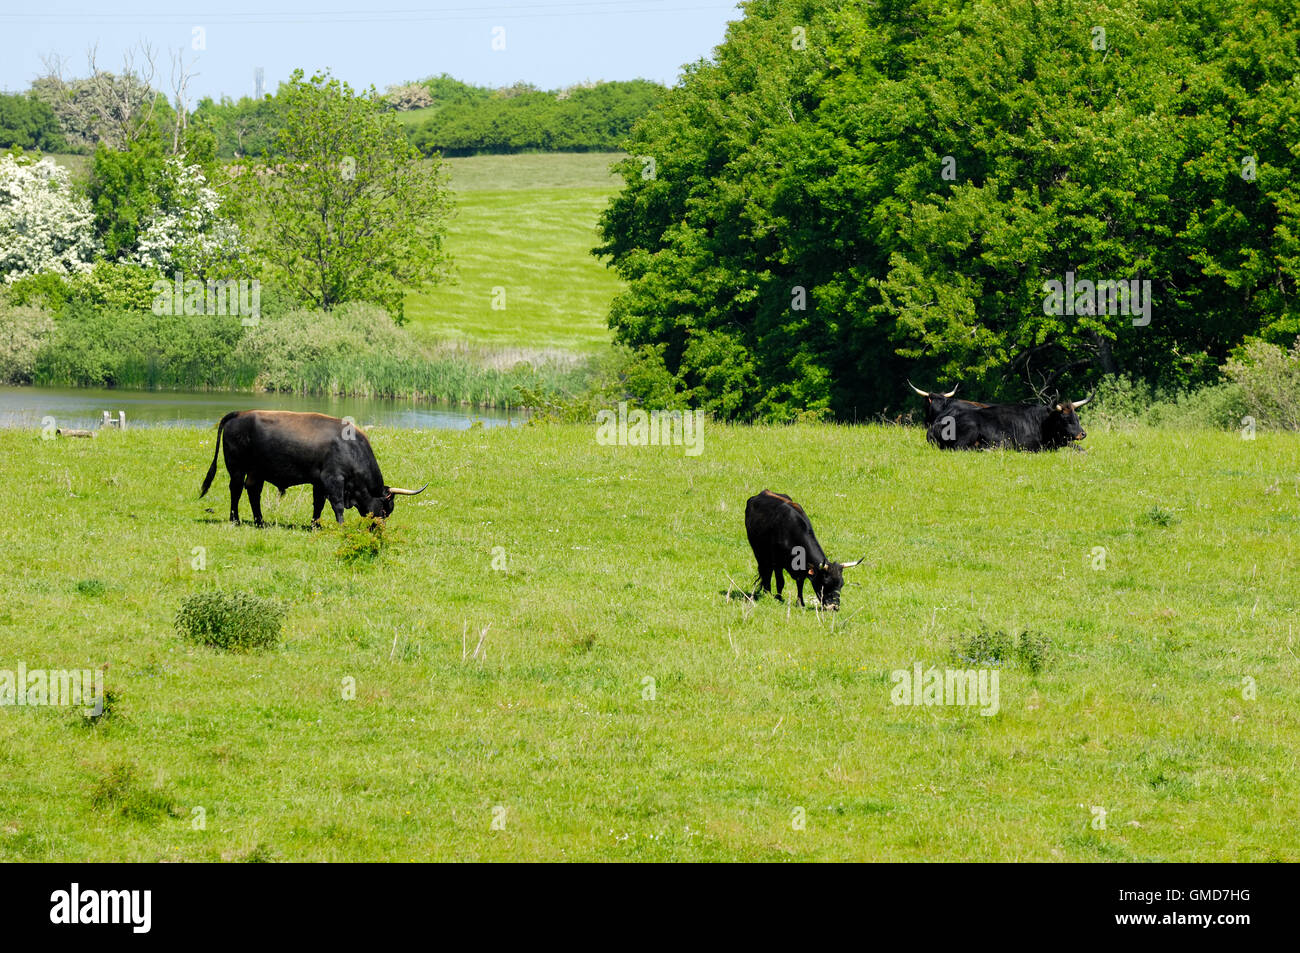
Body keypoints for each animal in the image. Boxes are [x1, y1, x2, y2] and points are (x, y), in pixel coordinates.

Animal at [199, 410, 426, 526]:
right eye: (386, 508)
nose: (377, 528)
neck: (350, 447)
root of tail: (239, 414)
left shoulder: (319, 482)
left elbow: (318, 505)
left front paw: (315, 525)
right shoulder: (333, 479)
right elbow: (336, 505)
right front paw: (340, 526)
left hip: (257, 471)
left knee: (253, 491)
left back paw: (260, 522)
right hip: (236, 467)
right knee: (236, 491)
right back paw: (235, 520)